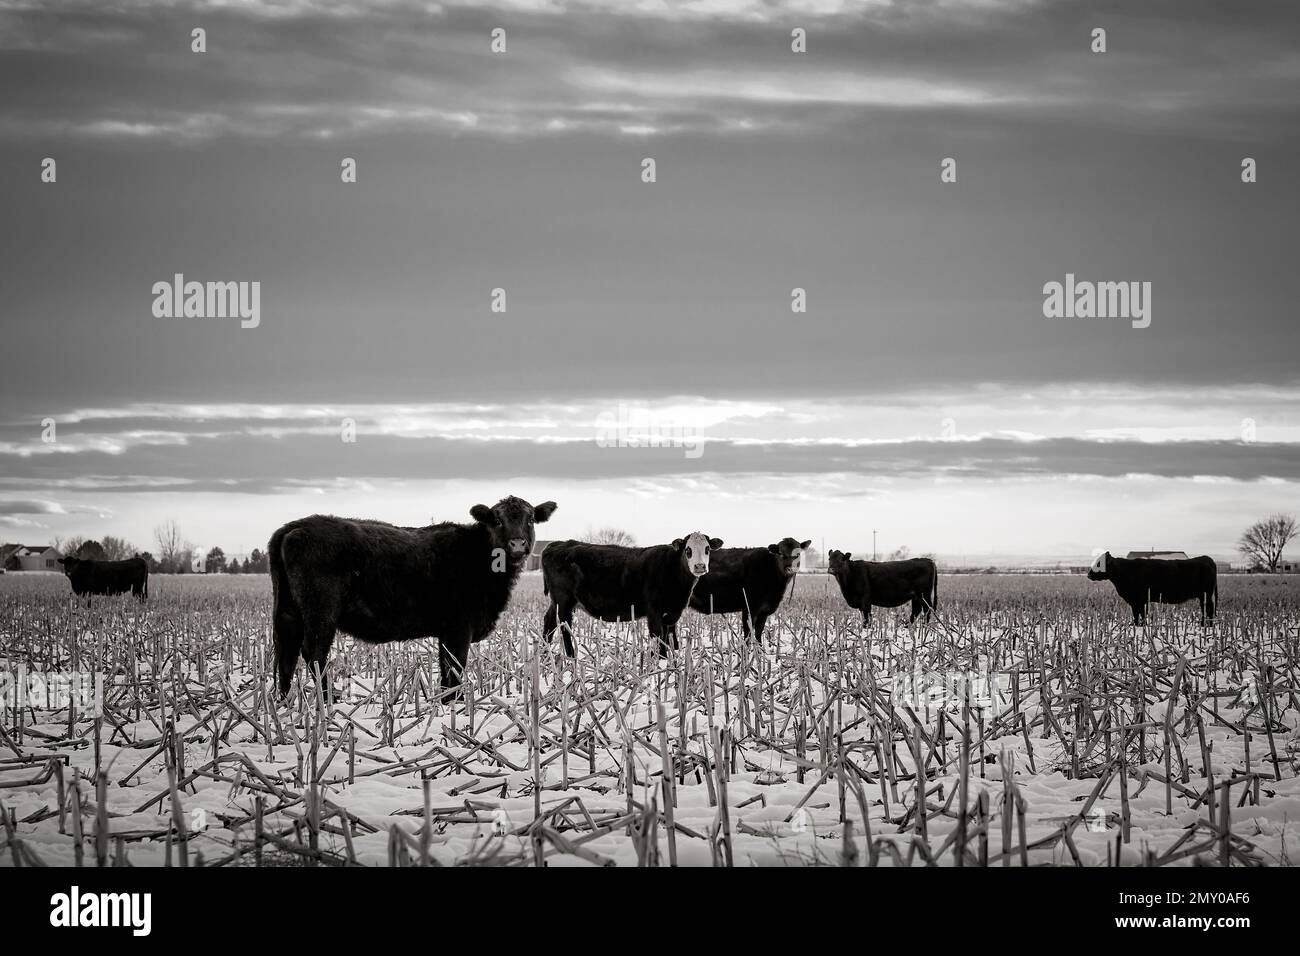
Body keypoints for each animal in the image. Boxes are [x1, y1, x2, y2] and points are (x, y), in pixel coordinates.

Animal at [268, 496, 556, 698]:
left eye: (530, 519)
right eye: (497, 520)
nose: (517, 544)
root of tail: (294, 526)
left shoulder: (447, 633)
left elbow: (446, 674)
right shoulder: (458, 629)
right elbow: (454, 672)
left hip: (287, 610)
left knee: (285, 651)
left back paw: (283, 702)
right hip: (321, 611)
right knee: (313, 652)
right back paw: (326, 700)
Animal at [542, 532, 723, 657]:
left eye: (707, 549)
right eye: (688, 549)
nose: (700, 566)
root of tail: (558, 544)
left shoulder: (672, 612)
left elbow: (669, 637)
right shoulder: (654, 610)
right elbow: (657, 636)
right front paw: (658, 661)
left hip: (556, 601)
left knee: (549, 620)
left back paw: (544, 651)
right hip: (563, 601)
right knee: (564, 626)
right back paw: (571, 656)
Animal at [1087, 552, 1217, 625]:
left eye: (1099, 563)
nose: (1089, 574)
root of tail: (1206, 558)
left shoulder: (1140, 600)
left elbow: (1142, 614)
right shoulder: (1135, 601)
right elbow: (1136, 615)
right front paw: (1136, 625)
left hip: (1206, 594)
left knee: (1209, 608)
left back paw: (1206, 625)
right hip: (1204, 595)